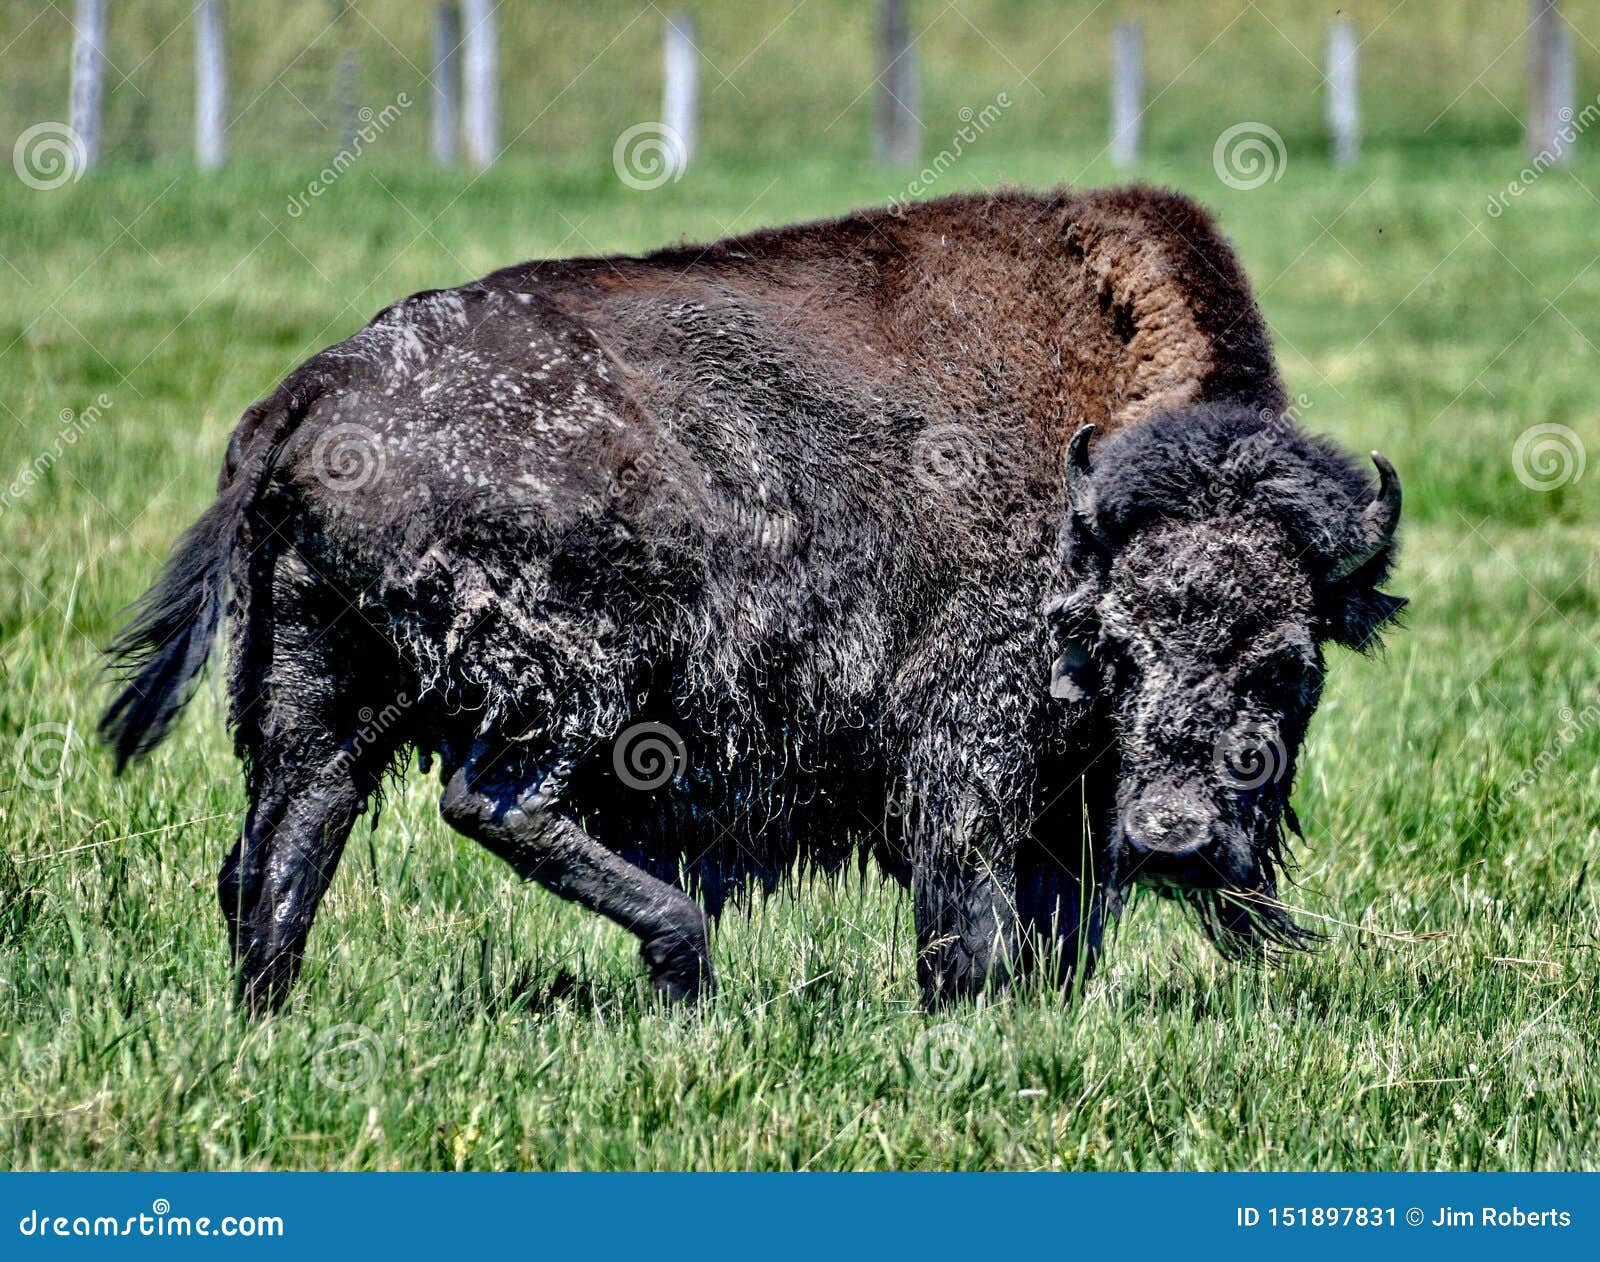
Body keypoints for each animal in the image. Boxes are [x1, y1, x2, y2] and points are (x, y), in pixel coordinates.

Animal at [100, 187, 1404, 1012]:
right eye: (1120, 648)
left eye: (1285, 663)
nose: (1174, 836)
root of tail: (319, 388)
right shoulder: (970, 744)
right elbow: (968, 908)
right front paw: (964, 1008)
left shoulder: (1071, 809)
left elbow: (1060, 925)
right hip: (575, 676)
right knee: (489, 801)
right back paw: (682, 962)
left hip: (319, 687)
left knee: (281, 846)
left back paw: (270, 1009)